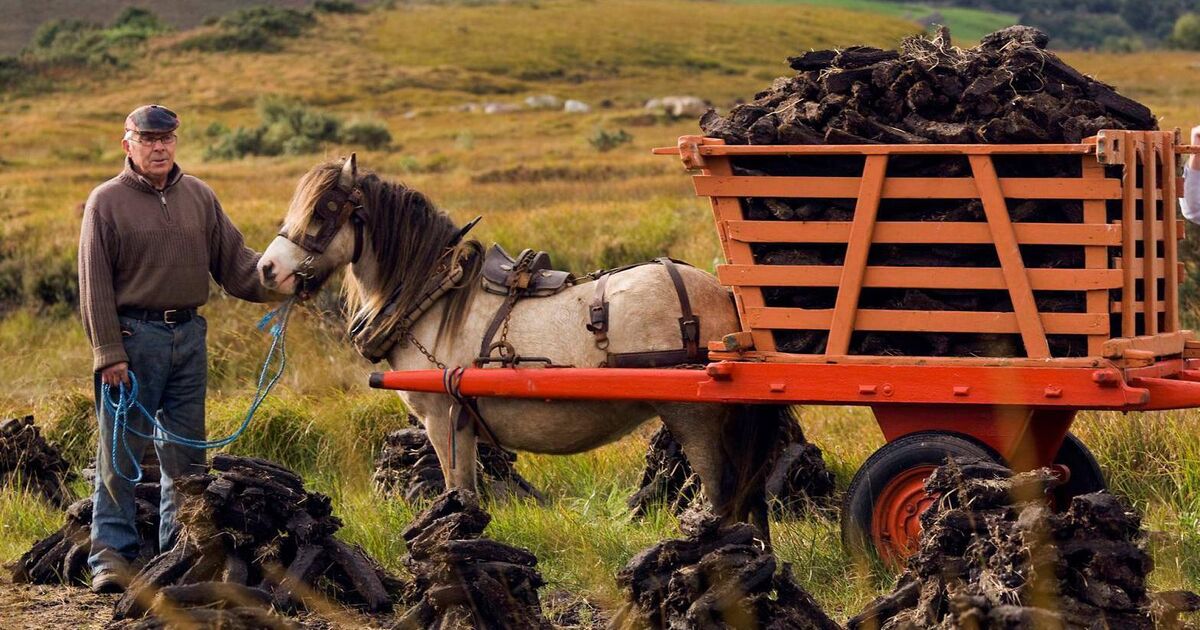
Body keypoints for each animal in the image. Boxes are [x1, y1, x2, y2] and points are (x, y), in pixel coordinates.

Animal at [256, 154, 787, 534]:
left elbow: (461, 496)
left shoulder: (443, 419)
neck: (433, 297)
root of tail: (723, 294)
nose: (267, 269)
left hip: (693, 417)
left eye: (324, 210)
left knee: (724, 498)